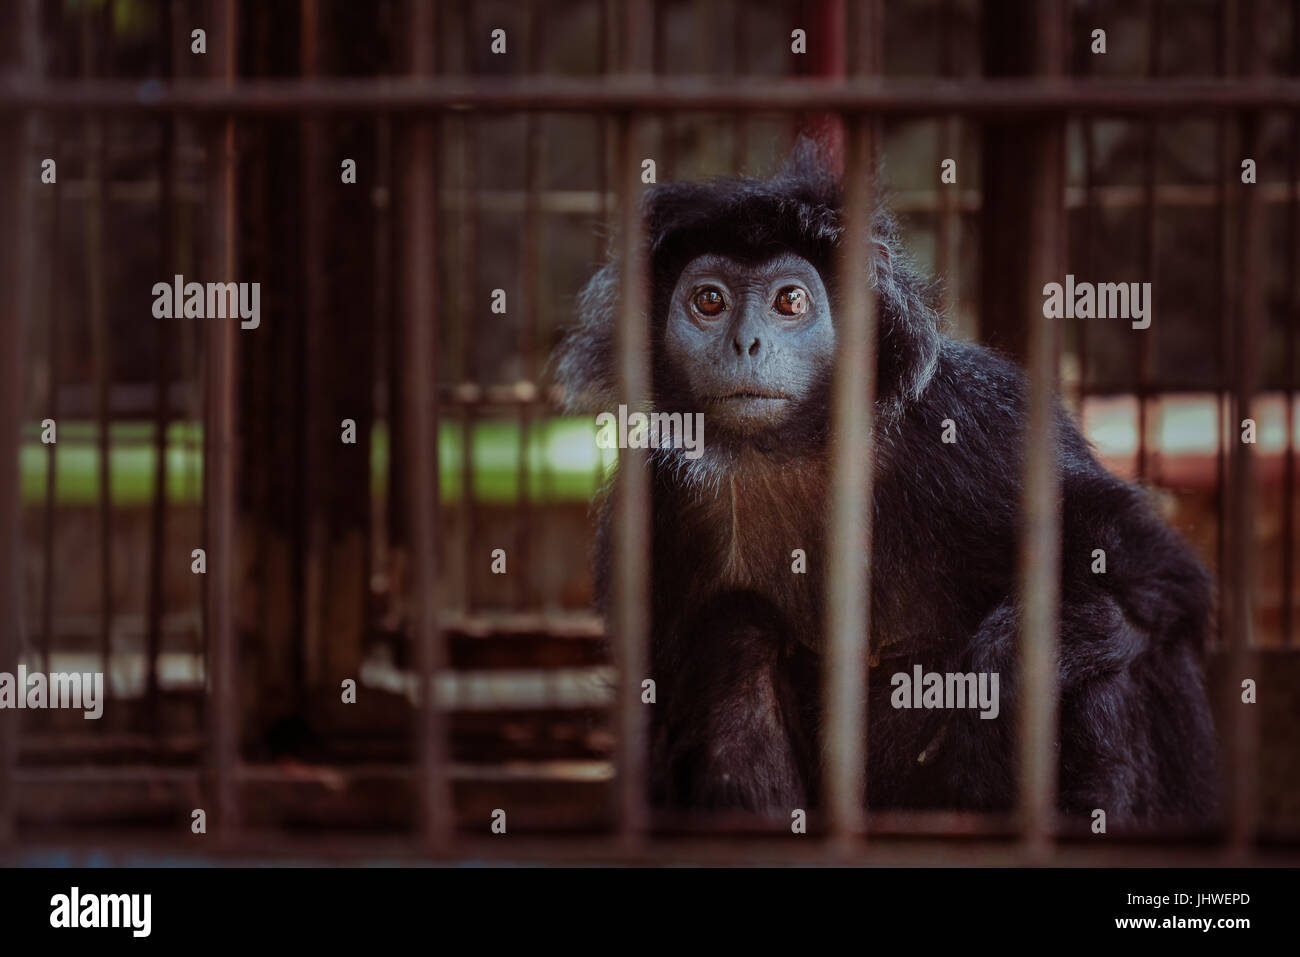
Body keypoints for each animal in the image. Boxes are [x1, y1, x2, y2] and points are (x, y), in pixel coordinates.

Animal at [552, 140, 1219, 826]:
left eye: (789, 302)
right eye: (708, 302)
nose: (746, 343)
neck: (798, 448)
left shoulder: (979, 421)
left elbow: (1164, 580)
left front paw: (1015, 663)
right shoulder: (655, 494)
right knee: (736, 633)